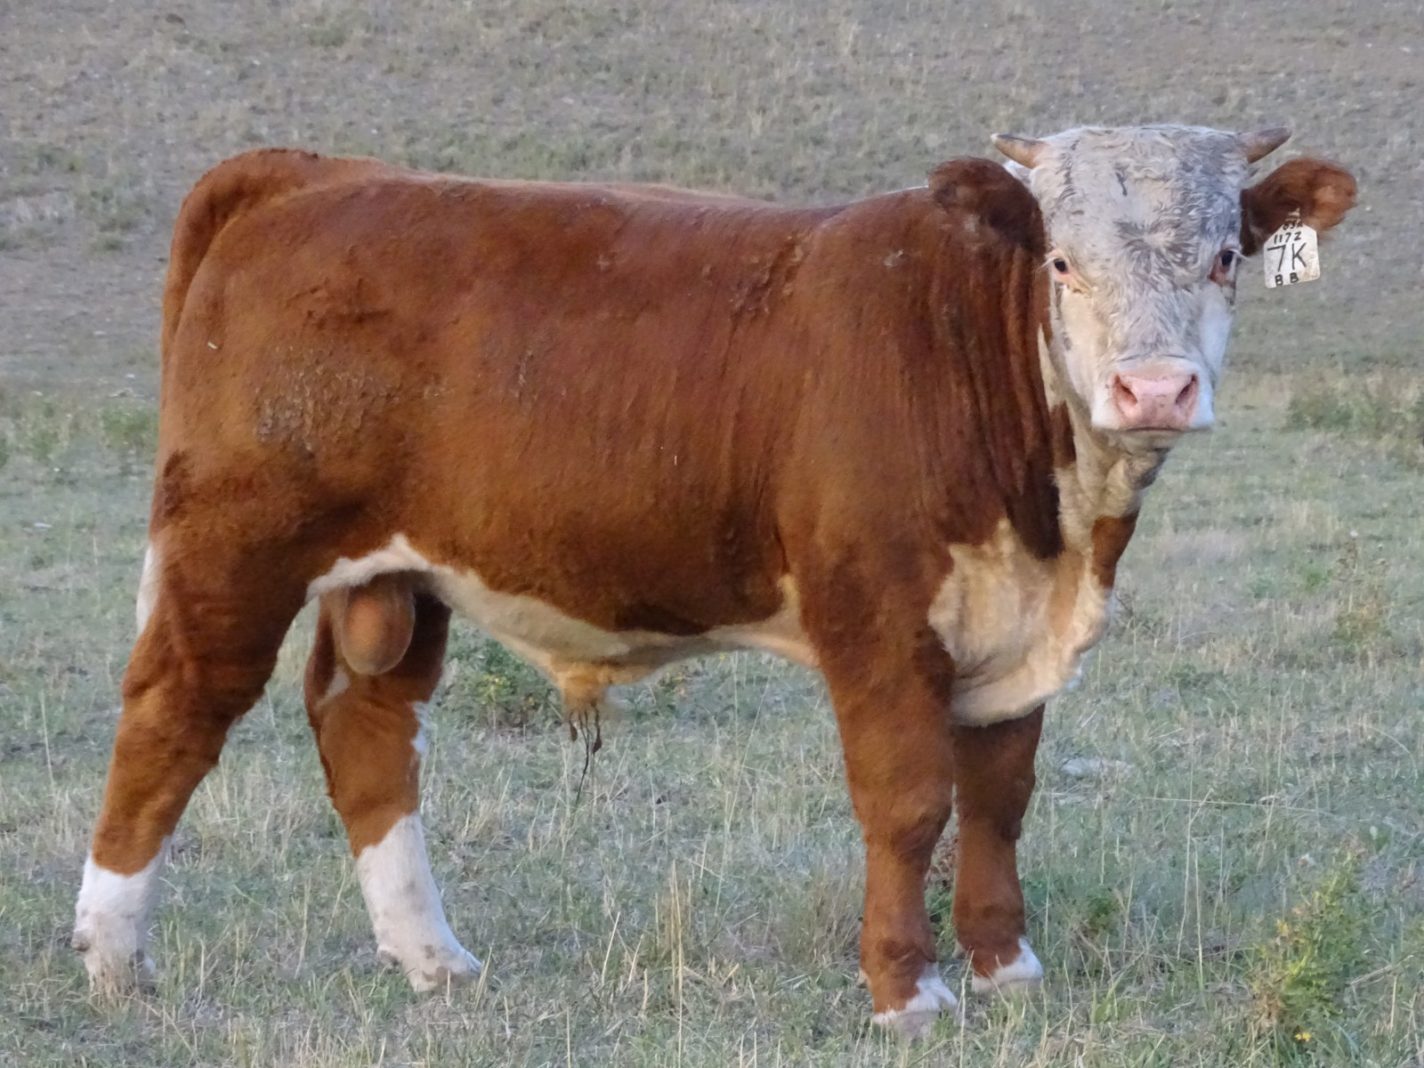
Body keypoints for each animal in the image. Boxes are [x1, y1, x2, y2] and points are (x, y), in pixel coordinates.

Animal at [72, 126, 1355, 1036]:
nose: (1153, 387)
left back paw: (433, 961)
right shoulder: (874, 618)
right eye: (1060, 261)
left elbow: (997, 796)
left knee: (366, 726)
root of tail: (308, 174)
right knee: (173, 715)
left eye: (1225, 256)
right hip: (232, 546)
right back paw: (113, 957)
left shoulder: (1010, 626)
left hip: (396, 580)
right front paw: (904, 992)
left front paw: (1006, 969)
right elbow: (908, 801)